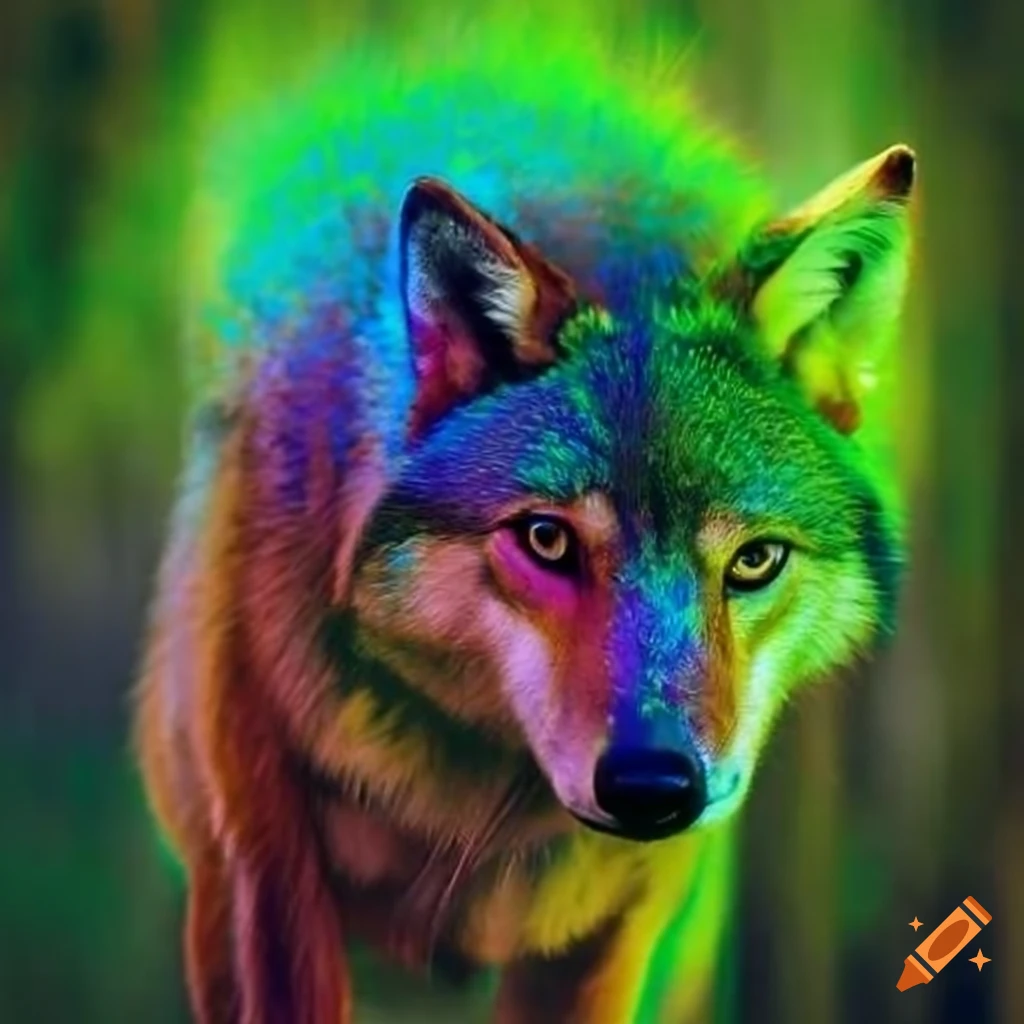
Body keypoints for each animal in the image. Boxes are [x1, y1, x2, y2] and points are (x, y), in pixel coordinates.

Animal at [134, 11, 915, 1024]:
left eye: (754, 561)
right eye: (547, 539)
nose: (654, 787)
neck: (476, 812)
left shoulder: (610, 938)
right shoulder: (260, 890)